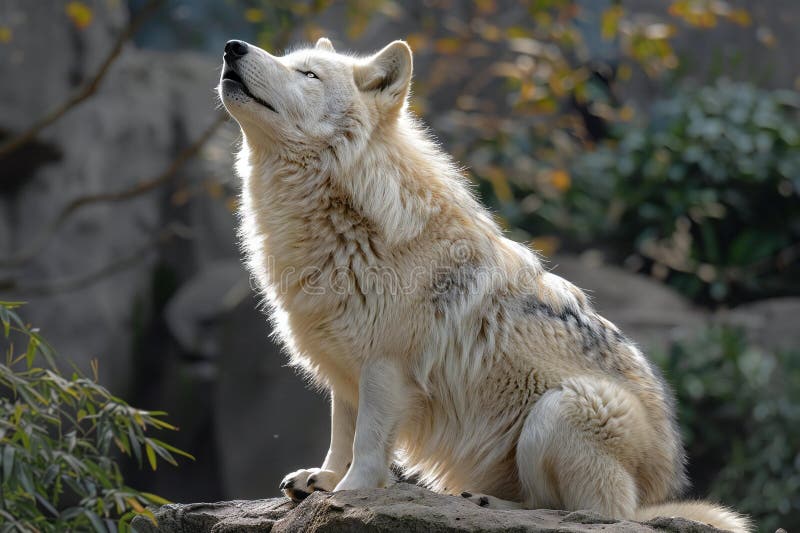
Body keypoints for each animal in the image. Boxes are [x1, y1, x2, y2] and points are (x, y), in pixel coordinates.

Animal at [217, 37, 751, 532]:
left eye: (308, 74)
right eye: (290, 61)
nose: (232, 47)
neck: (347, 219)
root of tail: (652, 495)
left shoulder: (386, 368)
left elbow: (368, 445)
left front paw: (349, 495)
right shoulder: (345, 366)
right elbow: (341, 435)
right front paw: (324, 481)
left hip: (560, 411)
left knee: (583, 513)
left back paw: (488, 504)